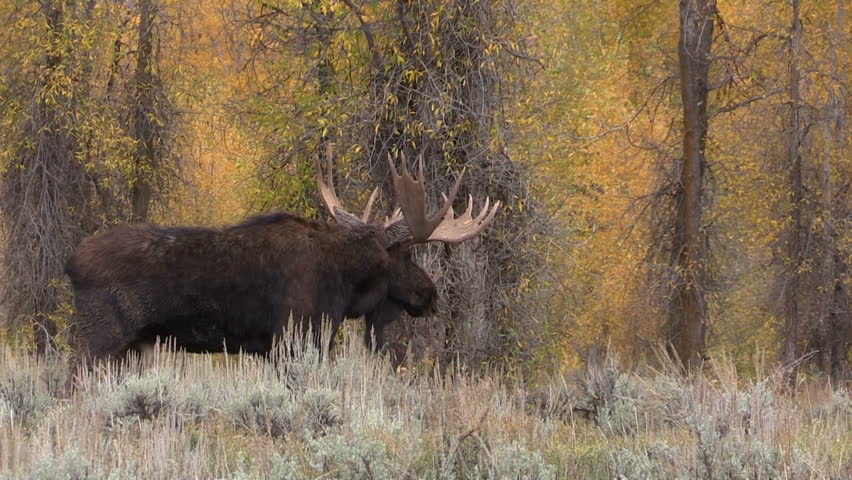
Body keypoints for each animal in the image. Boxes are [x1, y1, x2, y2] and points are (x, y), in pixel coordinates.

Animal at [63, 150, 498, 390]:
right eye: (406, 257)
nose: (430, 295)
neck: (347, 285)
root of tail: (71, 263)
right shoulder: (295, 339)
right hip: (101, 337)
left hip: (134, 345)